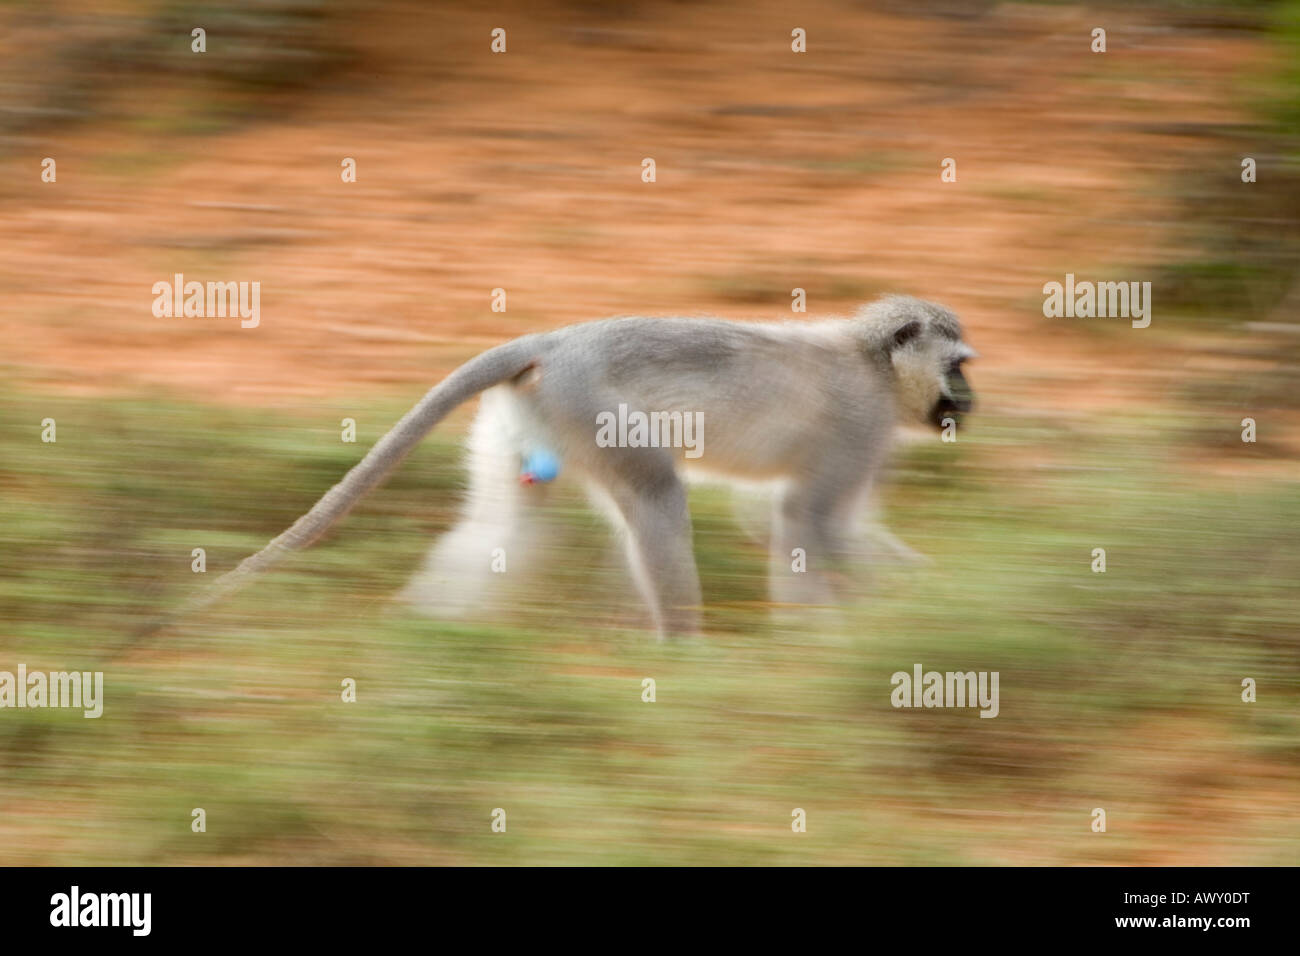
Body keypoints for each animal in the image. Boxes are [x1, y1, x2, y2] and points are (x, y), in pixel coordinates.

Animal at [162, 294, 975, 640]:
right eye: (959, 365)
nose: (970, 401)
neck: (873, 365)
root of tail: (552, 342)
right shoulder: (860, 425)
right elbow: (810, 524)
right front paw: (862, 637)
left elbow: (781, 516)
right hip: (593, 409)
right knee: (657, 499)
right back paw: (686, 656)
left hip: (526, 423)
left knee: (507, 529)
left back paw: (422, 640)